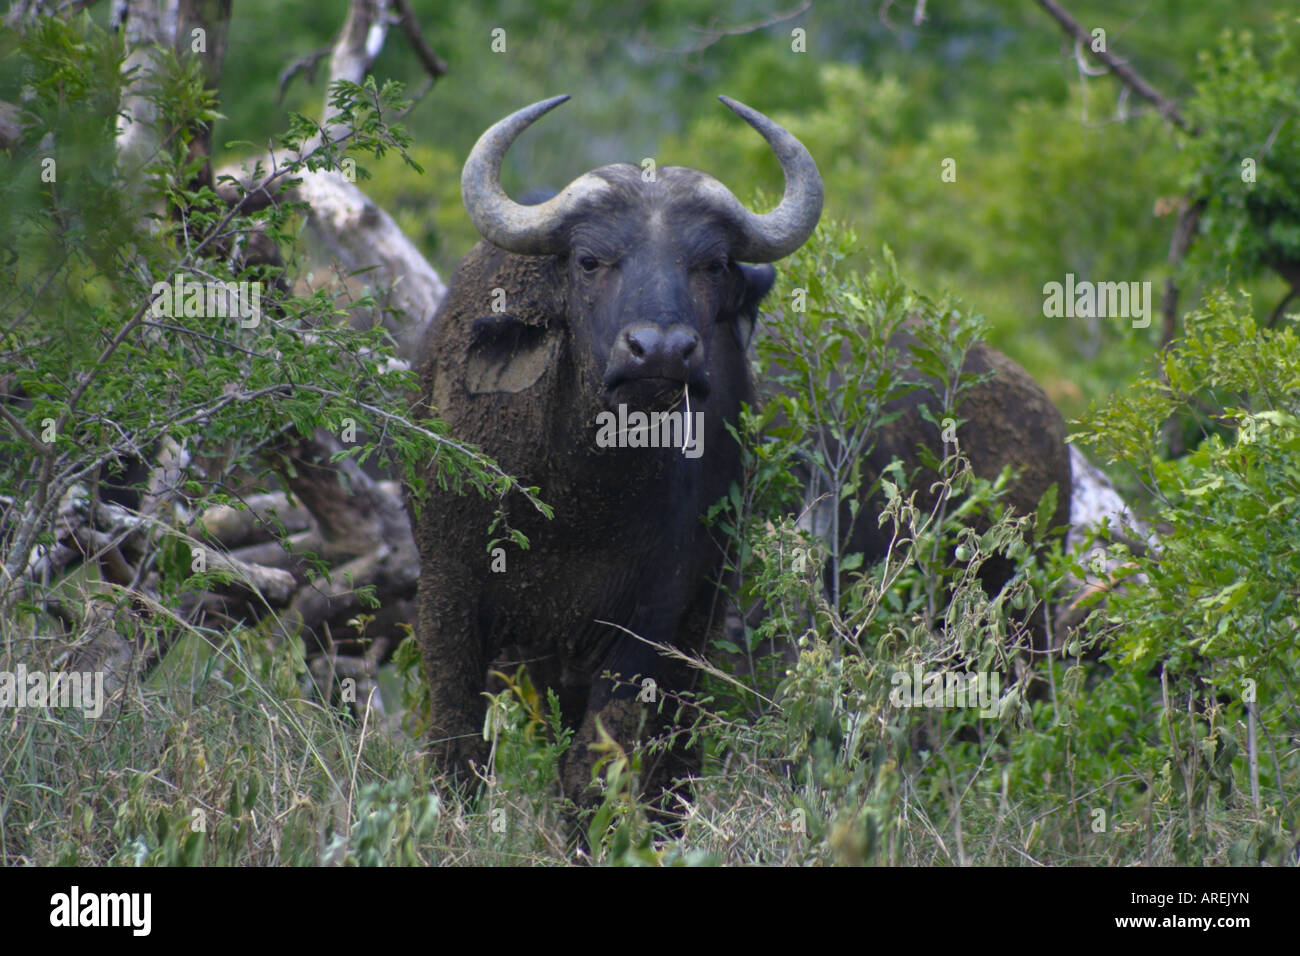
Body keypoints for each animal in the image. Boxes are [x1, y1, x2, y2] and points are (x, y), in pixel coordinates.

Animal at [410, 95, 823, 800]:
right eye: (590, 260)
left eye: (711, 264)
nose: (658, 352)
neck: (577, 498)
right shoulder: (447, 591)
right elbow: (457, 748)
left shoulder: (651, 619)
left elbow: (594, 766)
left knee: (679, 744)